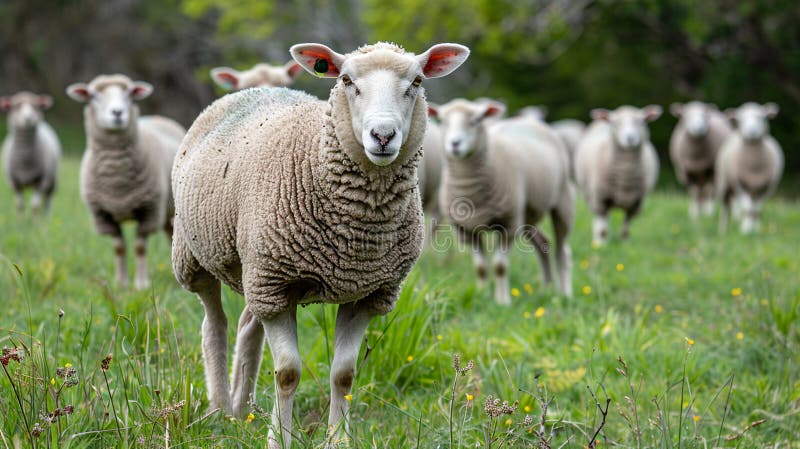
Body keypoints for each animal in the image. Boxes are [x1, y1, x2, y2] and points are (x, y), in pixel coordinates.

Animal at [66, 74, 185, 290]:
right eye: (94, 96)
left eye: (129, 94)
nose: (117, 112)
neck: (117, 183)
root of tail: (158, 118)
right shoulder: (104, 215)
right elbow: (119, 247)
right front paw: (120, 284)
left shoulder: (149, 210)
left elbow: (139, 248)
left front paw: (141, 284)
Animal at [171, 41, 469, 448]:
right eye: (346, 80)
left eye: (417, 82)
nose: (383, 136)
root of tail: (247, 91)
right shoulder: (277, 284)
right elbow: (287, 372)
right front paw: (279, 439)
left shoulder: (367, 292)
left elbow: (344, 374)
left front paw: (338, 439)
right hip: (200, 255)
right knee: (214, 323)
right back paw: (219, 409)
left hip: (256, 268)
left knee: (248, 324)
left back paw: (242, 408)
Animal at [431, 98, 575, 303]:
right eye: (442, 121)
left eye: (475, 121)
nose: (455, 144)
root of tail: (528, 121)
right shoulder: (467, 230)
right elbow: (481, 268)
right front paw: (481, 295)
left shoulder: (508, 226)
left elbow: (500, 266)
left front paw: (502, 301)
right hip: (525, 216)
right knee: (543, 244)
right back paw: (547, 289)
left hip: (562, 200)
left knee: (563, 251)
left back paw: (565, 293)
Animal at [574, 105, 661, 245]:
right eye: (616, 123)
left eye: (641, 122)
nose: (630, 138)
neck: (625, 173)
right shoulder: (601, 199)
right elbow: (603, 229)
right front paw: (601, 245)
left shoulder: (635, 203)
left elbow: (626, 229)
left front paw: (626, 244)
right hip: (590, 195)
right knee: (599, 222)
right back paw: (597, 240)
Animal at [716, 102, 783, 235]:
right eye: (740, 119)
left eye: (761, 117)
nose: (752, 132)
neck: (754, 166)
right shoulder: (741, 184)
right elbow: (747, 209)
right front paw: (745, 231)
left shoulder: (766, 188)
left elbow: (756, 211)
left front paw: (755, 231)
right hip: (725, 183)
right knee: (726, 208)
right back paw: (723, 231)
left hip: (754, 189)